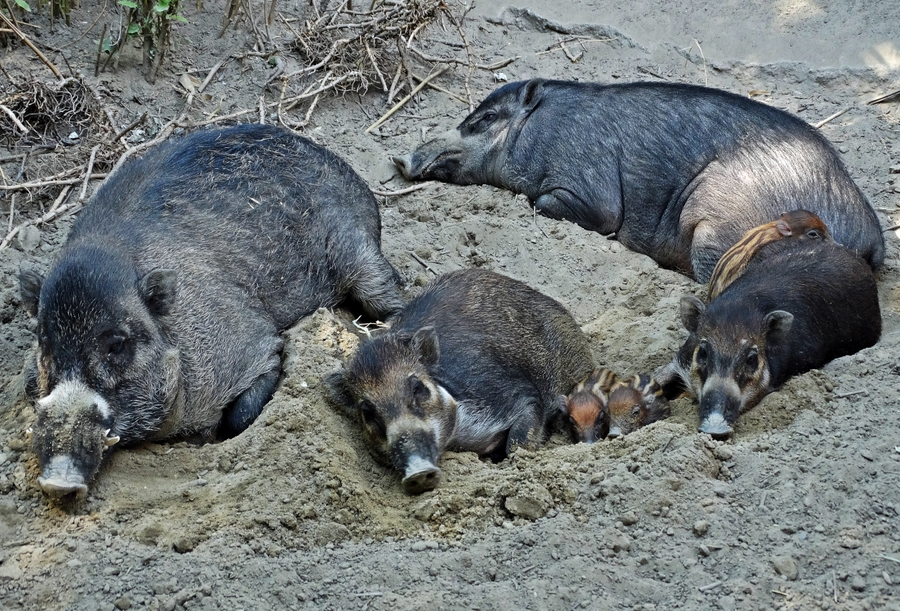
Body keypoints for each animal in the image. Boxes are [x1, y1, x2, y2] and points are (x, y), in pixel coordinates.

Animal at [326, 270, 596, 494]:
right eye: (367, 412)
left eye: (418, 388)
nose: (418, 472)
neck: (458, 435)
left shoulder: (515, 393)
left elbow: (518, 441)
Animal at [390, 79, 884, 282]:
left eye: (484, 119)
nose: (399, 157)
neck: (539, 132)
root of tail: (869, 235)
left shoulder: (589, 188)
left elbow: (550, 205)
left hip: (723, 223)